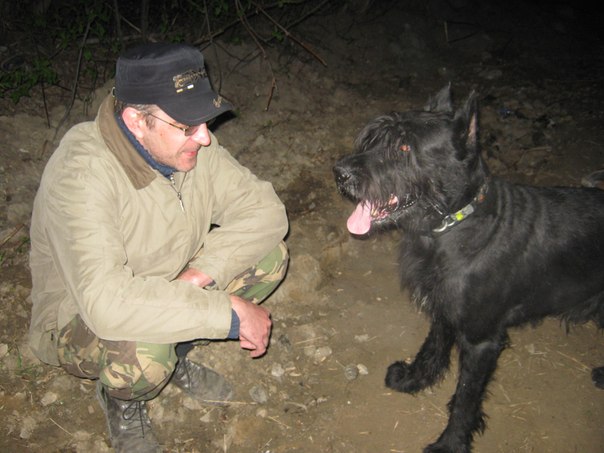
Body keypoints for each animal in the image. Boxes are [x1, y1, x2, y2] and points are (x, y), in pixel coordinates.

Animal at [333, 85, 604, 453]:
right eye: (373, 139)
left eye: (404, 147)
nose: (339, 172)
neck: (453, 226)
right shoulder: (443, 308)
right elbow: (432, 348)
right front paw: (413, 379)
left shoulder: (481, 340)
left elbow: (465, 397)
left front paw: (450, 443)